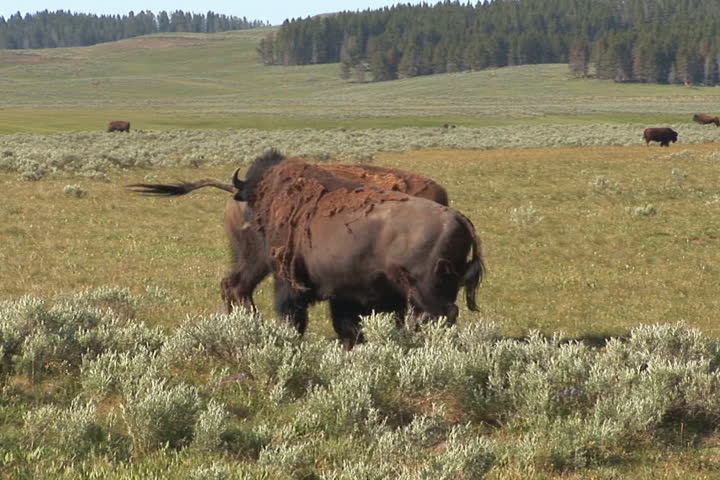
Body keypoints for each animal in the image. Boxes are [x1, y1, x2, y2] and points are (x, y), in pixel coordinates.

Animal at [231, 150, 483, 348]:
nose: (245, 223)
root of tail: (458, 218)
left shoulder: (289, 282)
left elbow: (294, 316)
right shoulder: (343, 293)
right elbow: (346, 326)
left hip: (427, 292)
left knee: (442, 315)